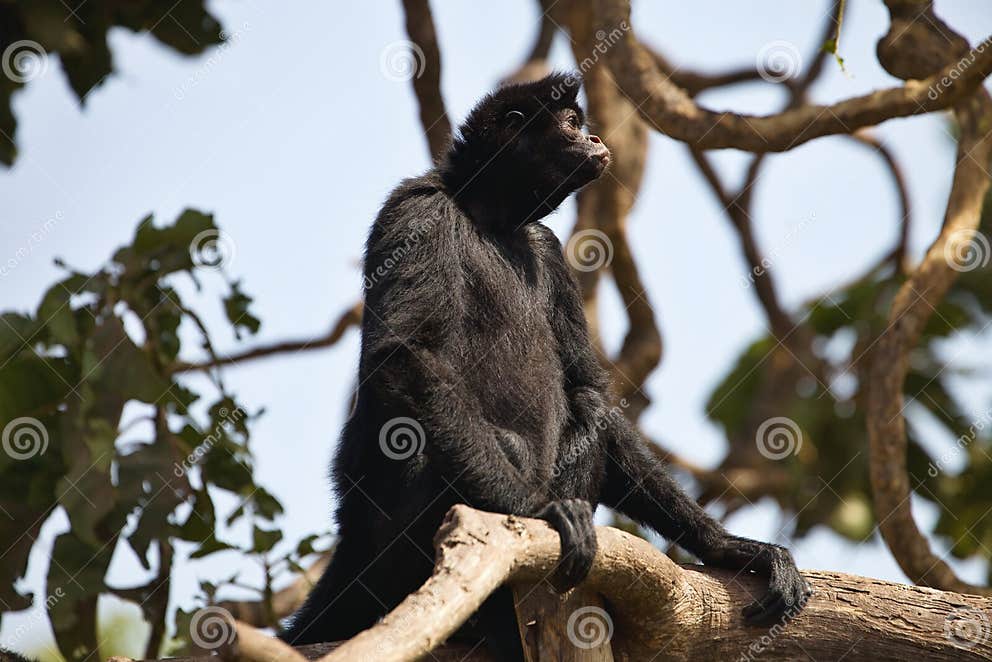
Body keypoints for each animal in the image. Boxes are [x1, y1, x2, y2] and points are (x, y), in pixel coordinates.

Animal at [281, 72, 810, 657]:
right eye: (574, 123)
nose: (596, 138)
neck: (489, 217)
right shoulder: (418, 210)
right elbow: (403, 357)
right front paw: (536, 512)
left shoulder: (547, 246)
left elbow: (589, 389)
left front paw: (727, 547)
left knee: (586, 408)